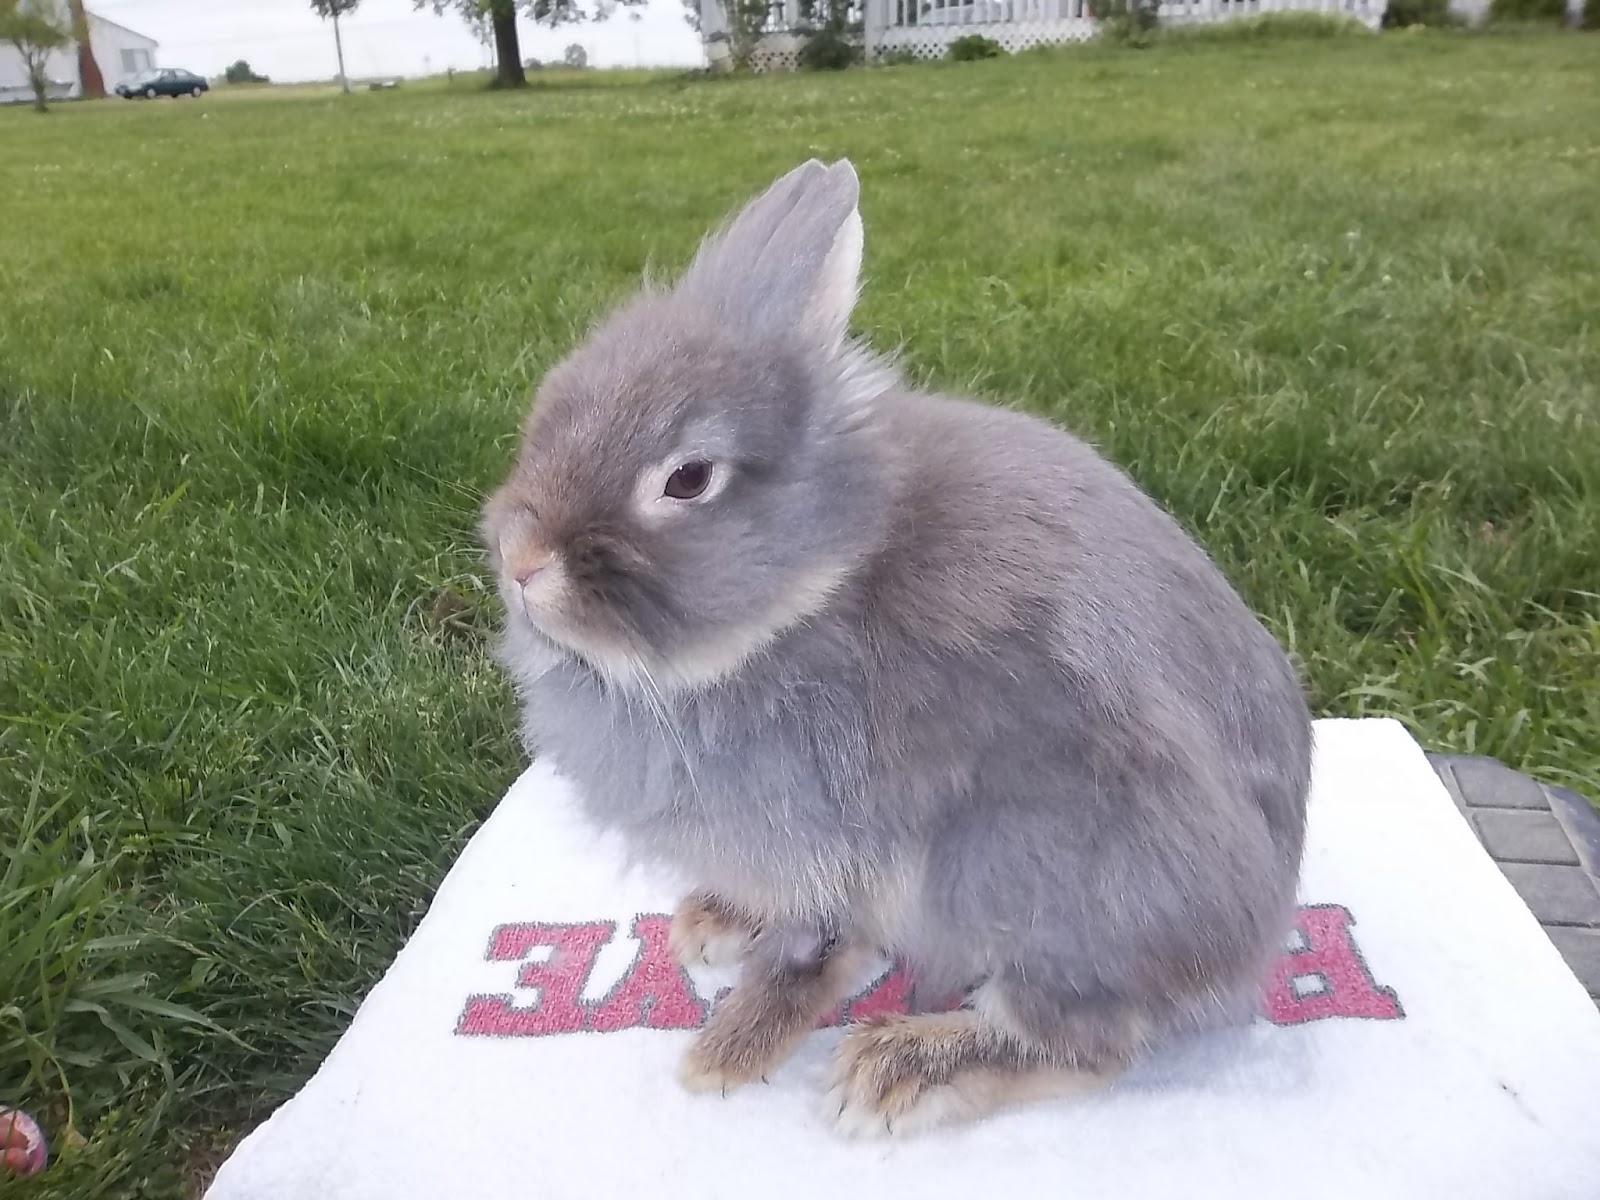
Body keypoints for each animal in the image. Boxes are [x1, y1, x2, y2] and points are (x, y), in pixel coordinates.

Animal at [480, 159, 1312, 1138]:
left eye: (687, 479)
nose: (522, 560)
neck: (815, 589)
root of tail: (1259, 928)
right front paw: (714, 923)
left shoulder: (836, 838)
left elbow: (813, 951)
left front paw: (727, 1055)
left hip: (1050, 872)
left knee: (1089, 1046)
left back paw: (897, 1069)